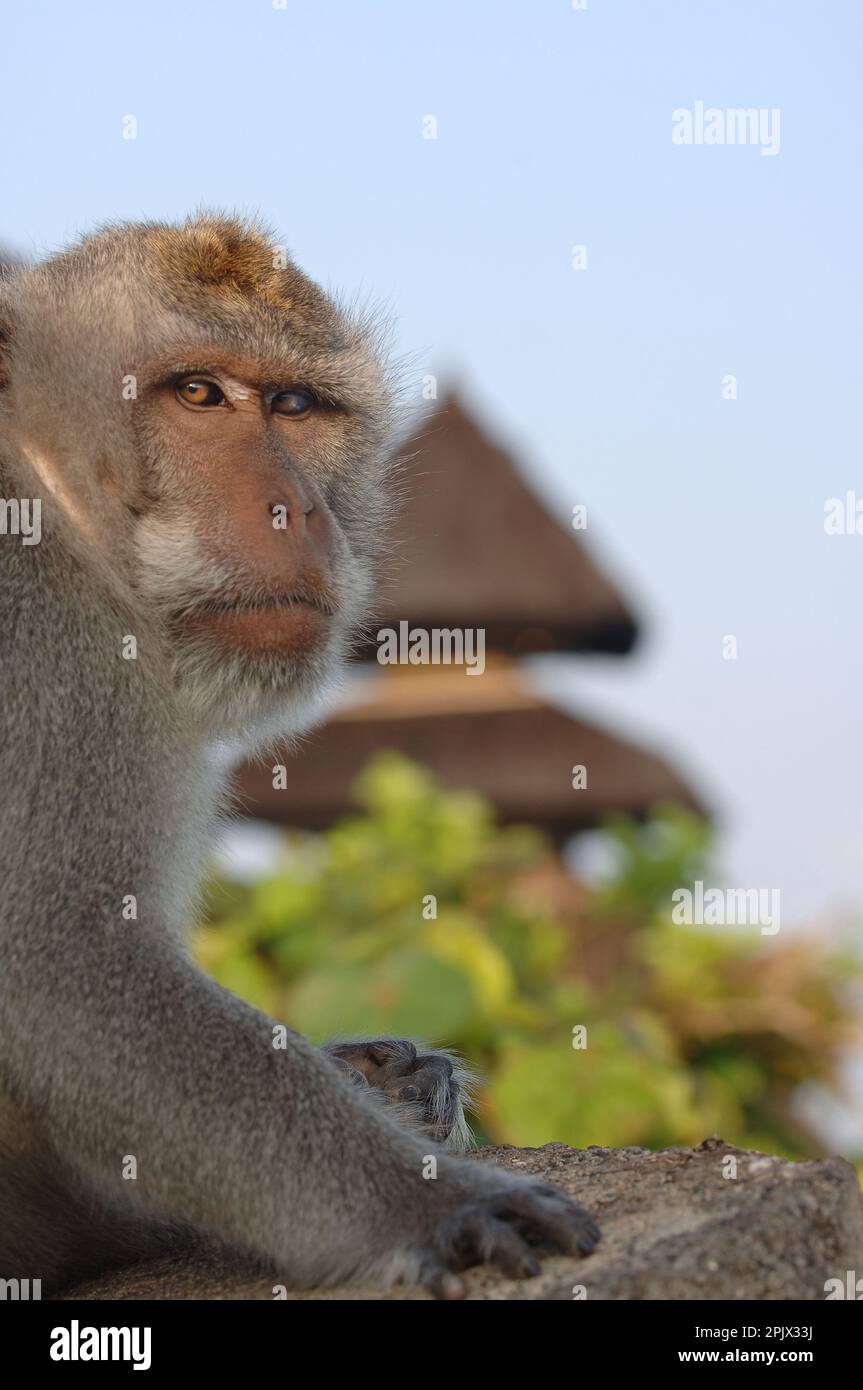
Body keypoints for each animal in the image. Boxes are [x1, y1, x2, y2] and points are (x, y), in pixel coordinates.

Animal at [0, 214, 599, 1298]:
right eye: (197, 393)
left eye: (293, 404)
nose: (296, 510)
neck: (48, 499)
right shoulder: (41, 637)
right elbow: (62, 958)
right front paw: (427, 1201)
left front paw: (385, 1078)